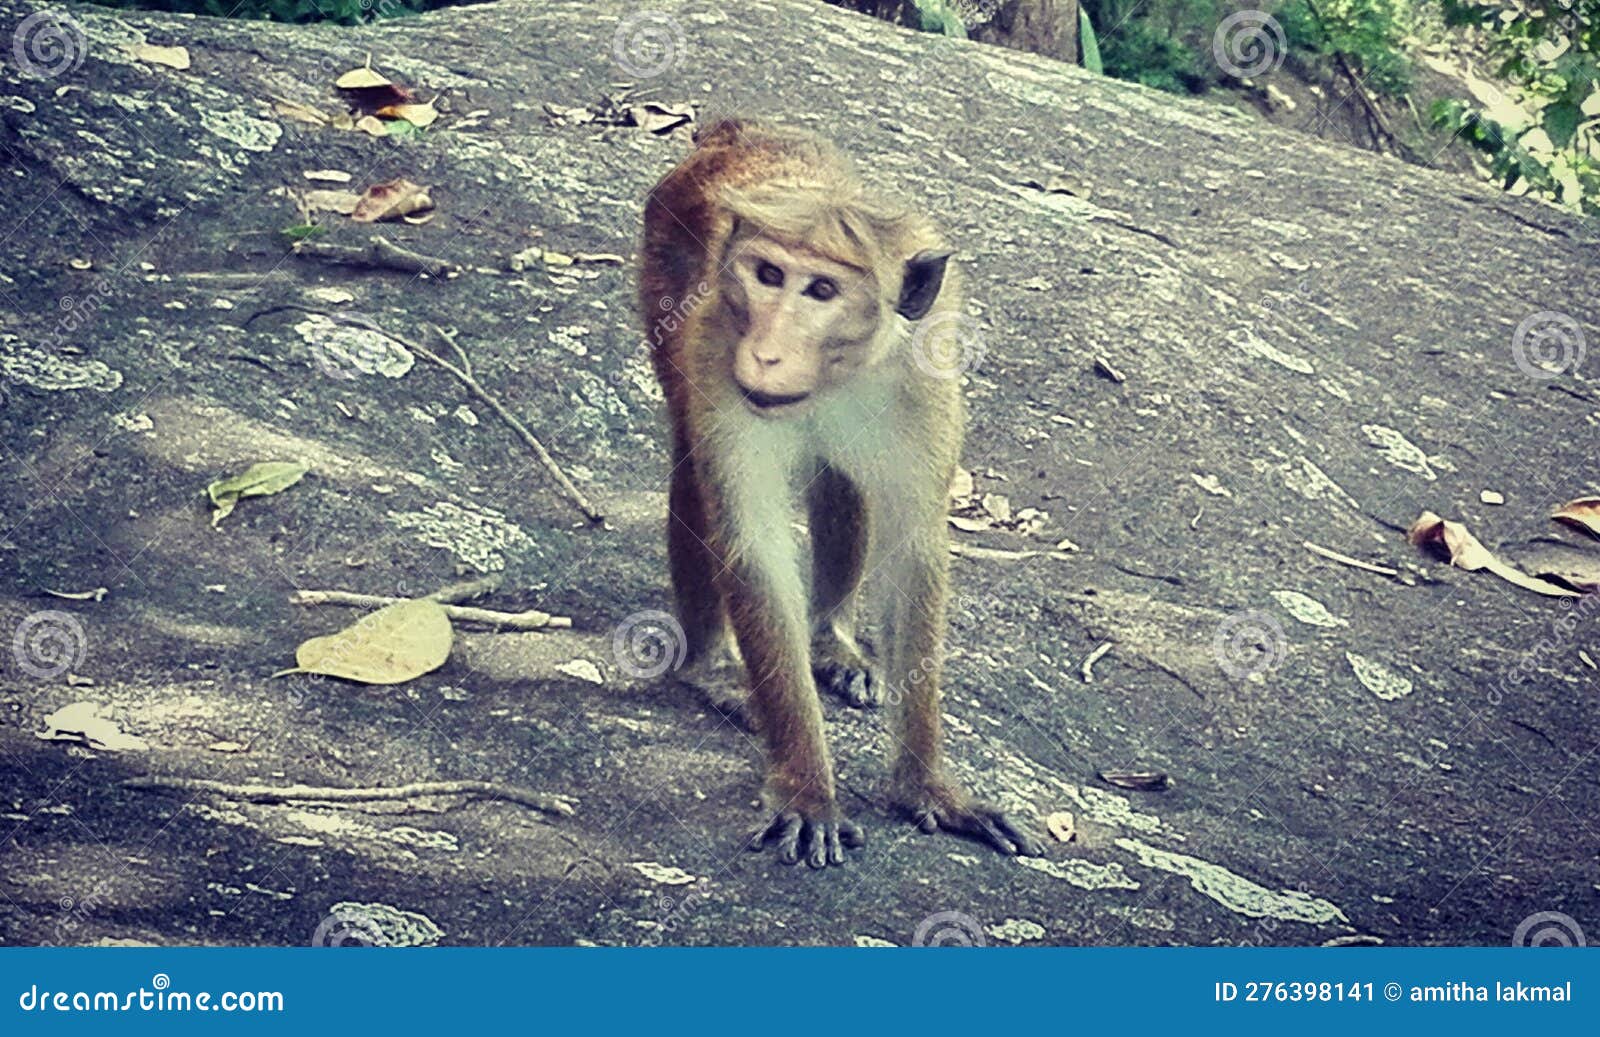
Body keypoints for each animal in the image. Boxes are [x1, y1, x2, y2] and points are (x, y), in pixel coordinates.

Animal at [639, 119, 1043, 868]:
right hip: (665, 272)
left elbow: (913, 553)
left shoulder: (925, 377)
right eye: (768, 274)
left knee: (842, 480)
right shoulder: (713, 345)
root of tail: (738, 132)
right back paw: (712, 667)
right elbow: (756, 550)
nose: (766, 352)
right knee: (693, 465)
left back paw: (833, 644)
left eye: (821, 290)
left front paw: (925, 784)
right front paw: (807, 788)